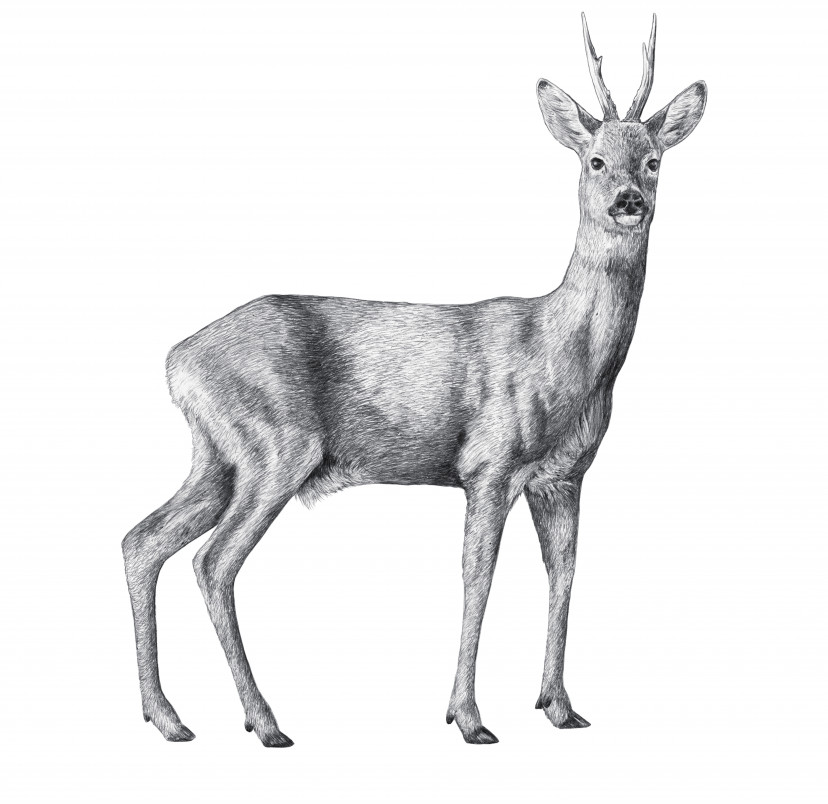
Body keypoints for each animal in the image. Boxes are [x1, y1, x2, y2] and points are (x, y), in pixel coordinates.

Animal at [122, 14, 706, 747]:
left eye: (654, 160)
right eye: (594, 160)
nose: (629, 201)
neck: (561, 353)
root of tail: (176, 359)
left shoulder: (565, 476)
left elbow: (564, 577)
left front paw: (560, 706)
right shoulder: (489, 464)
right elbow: (477, 579)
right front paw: (469, 718)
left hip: (218, 456)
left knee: (143, 541)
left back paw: (168, 716)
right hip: (275, 447)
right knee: (212, 561)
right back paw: (264, 721)